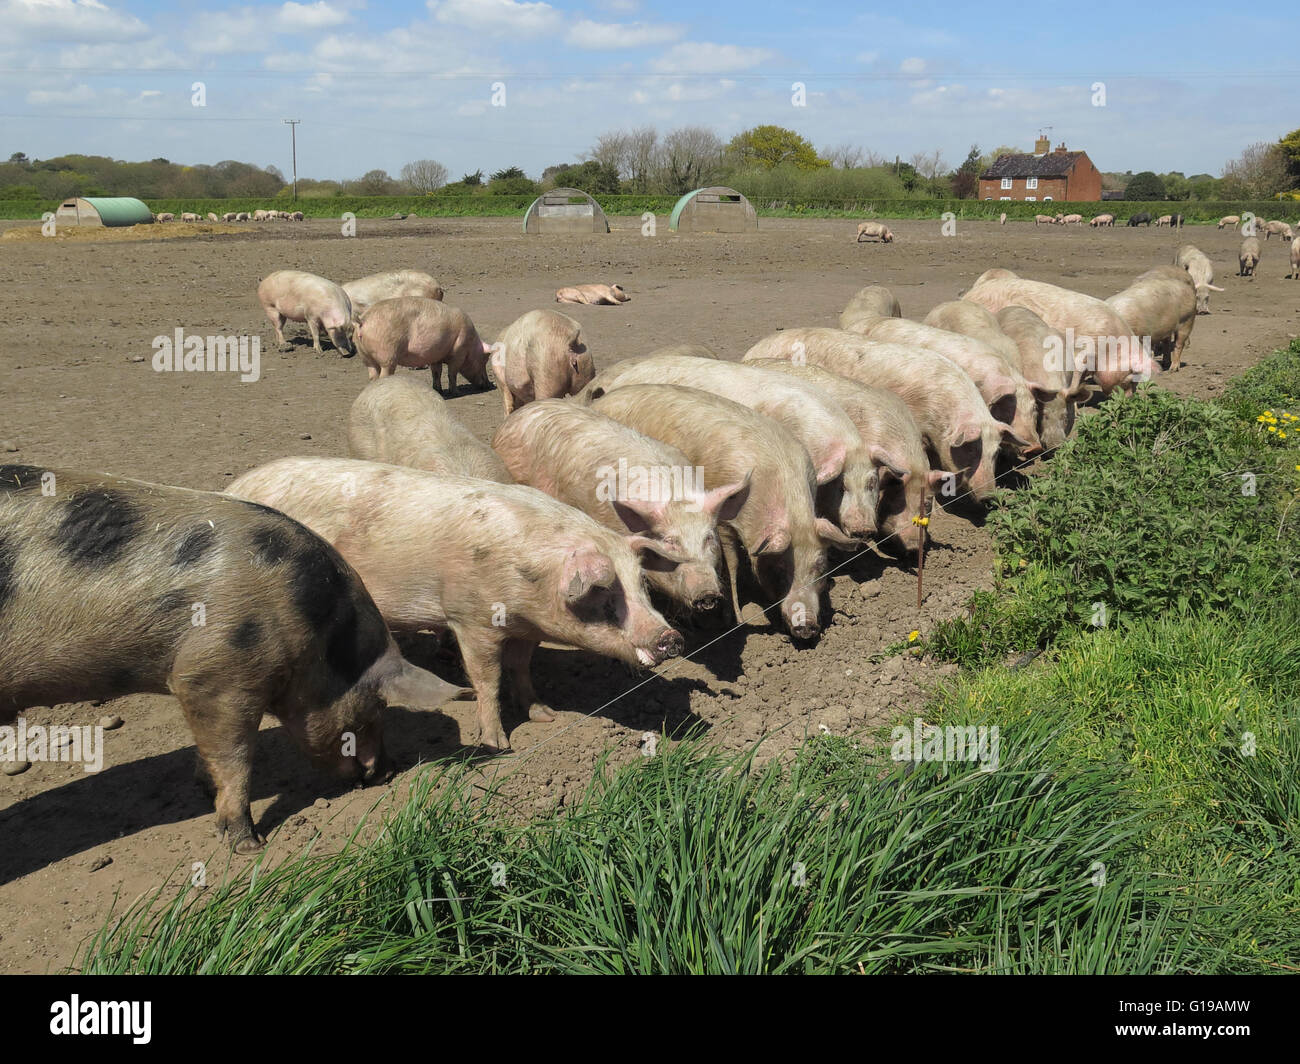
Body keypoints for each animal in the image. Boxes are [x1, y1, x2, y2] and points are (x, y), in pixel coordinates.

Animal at [0, 465, 467, 853]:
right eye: (375, 709)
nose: (388, 771)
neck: (314, 630)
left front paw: (204, 790)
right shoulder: (213, 672)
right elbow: (236, 755)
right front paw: (248, 845)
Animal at [225, 459, 684, 751]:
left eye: (642, 585)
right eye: (607, 595)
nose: (671, 637)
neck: (531, 581)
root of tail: (229, 489)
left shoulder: (527, 628)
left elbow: (521, 668)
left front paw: (544, 715)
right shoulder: (472, 619)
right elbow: (487, 678)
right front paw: (497, 744)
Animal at [354, 297, 491, 394]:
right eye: (484, 360)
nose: (489, 385)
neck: (471, 344)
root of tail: (362, 320)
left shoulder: (436, 355)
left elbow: (436, 372)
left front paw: (438, 390)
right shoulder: (459, 352)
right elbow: (452, 373)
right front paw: (456, 392)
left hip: (364, 356)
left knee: (372, 376)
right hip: (387, 353)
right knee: (384, 374)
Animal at [590, 385, 855, 640]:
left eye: (820, 567)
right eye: (781, 570)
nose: (807, 626)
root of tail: (602, 400)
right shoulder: (725, 522)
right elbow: (732, 564)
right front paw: (736, 619)